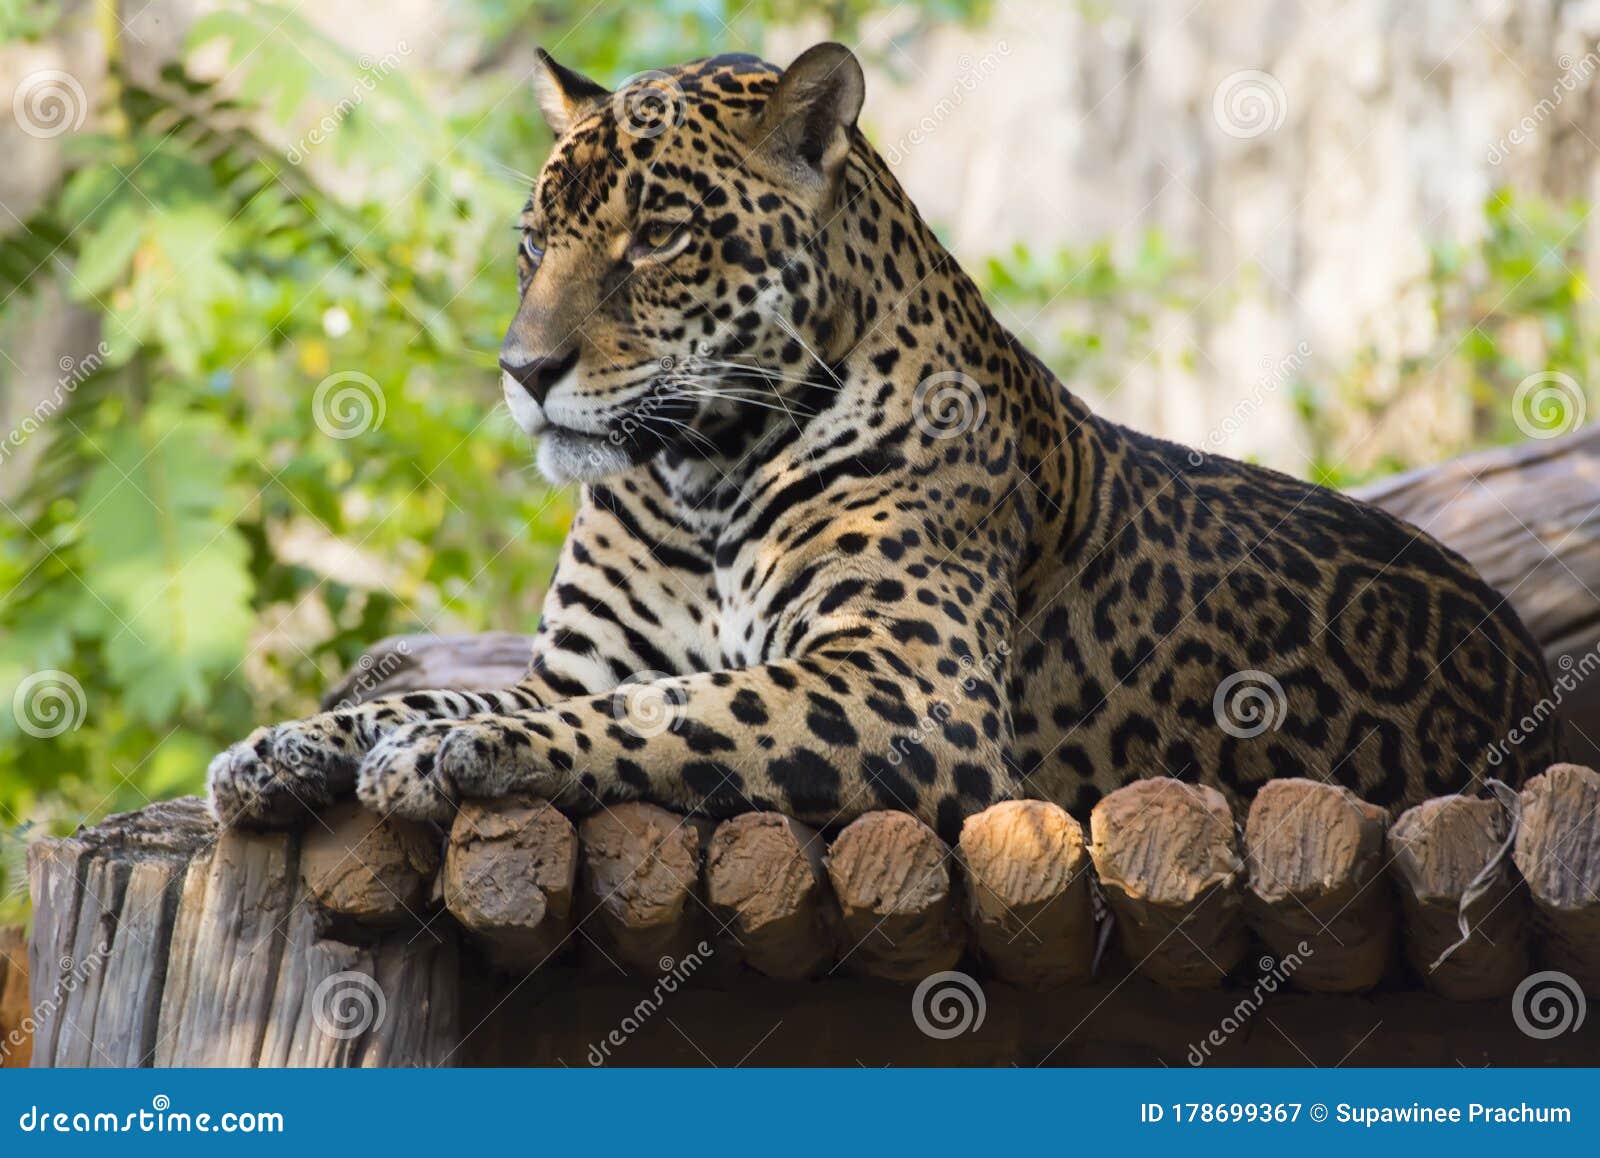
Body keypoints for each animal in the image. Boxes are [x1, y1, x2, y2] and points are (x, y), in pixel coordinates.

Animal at [208, 43, 1560, 844]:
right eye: (532, 244)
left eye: (658, 239)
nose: (524, 374)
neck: (697, 474)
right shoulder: (579, 667)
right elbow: (449, 685)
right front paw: (280, 747)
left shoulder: (907, 683)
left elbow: (670, 712)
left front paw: (453, 750)